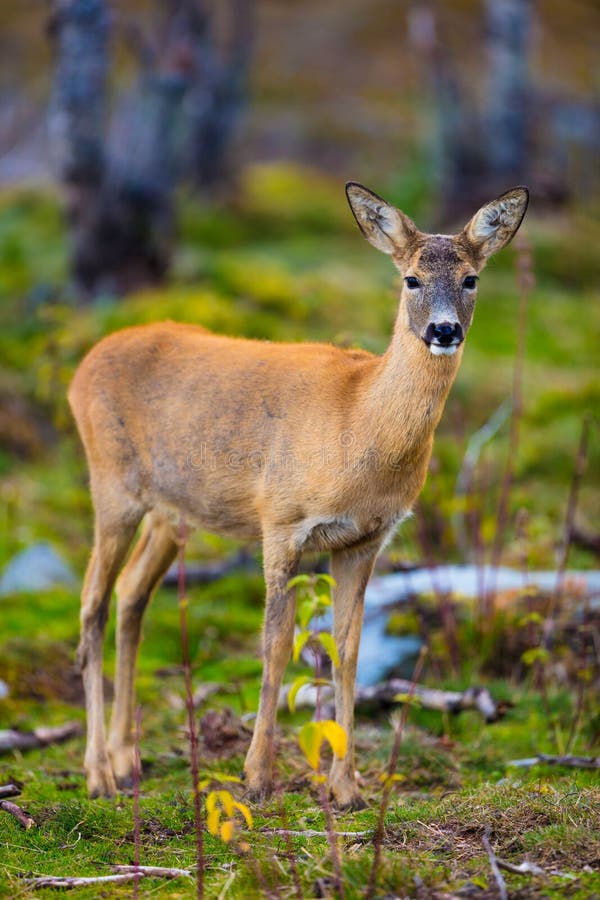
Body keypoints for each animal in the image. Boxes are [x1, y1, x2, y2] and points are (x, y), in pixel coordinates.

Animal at [69, 182, 528, 809]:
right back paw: (98, 774)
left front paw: (347, 787)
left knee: (131, 595)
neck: (359, 426)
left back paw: (126, 759)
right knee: (91, 604)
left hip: (170, 513)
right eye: (410, 278)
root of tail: (82, 366)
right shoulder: (281, 522)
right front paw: (256, 777)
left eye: (471, 278)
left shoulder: (366, 540)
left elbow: (347, 649)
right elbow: (276, 644)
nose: (443, 331)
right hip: (111, 485)